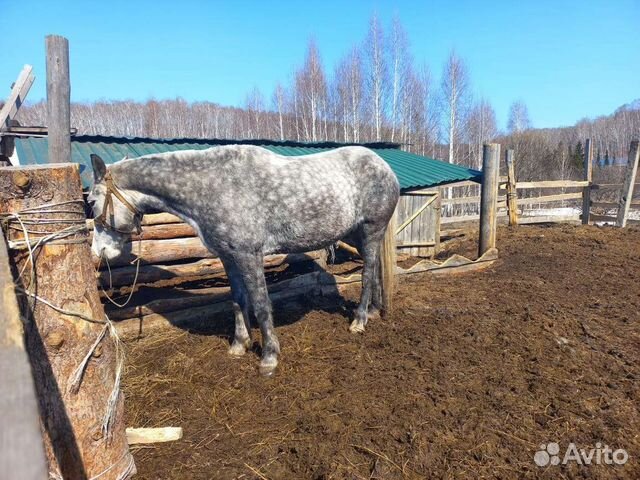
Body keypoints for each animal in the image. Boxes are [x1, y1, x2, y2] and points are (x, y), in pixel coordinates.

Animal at [89, 145, 399, 376]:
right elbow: (238, 300)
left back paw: (359, 321)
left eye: (91, 202)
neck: (213, 186)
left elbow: (261, 305)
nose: (99, 252)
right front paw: (239, 345)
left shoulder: (249, 255)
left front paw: (269, 358)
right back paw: (374, 311)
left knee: (367, 274)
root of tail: (385, 168)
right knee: (375, 270)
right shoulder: (229, 257)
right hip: (358, 235)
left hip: (371, 230)